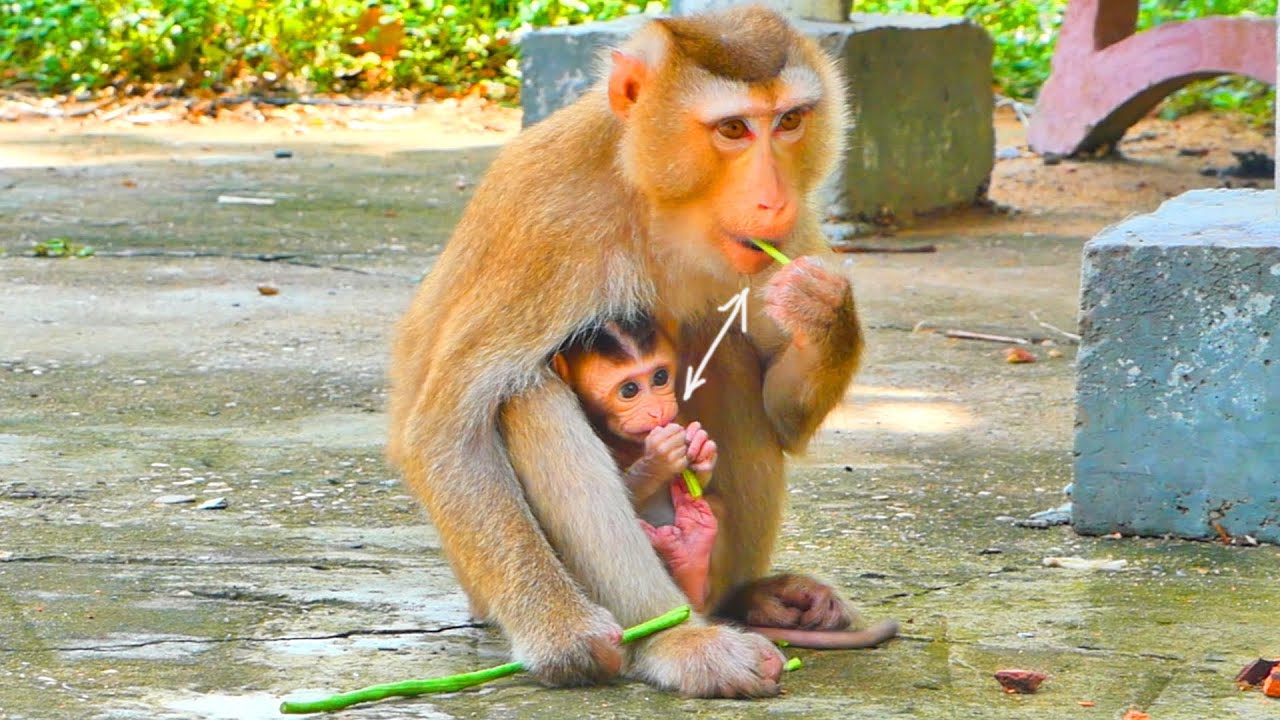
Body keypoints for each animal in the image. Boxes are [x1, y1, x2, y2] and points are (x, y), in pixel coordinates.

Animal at [388, 6, 867, 698]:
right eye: (732, 129)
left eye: (789, 121)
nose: (773, 199)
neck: (653, 200)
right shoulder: (549, 225)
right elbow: (445, 431)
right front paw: (563, 635)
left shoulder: (786, 235)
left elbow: (782, 415)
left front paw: (826, 310)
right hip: (486, 588)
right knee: (527, 396)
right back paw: (677, 639)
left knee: (727, 356)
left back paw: (743, 594)